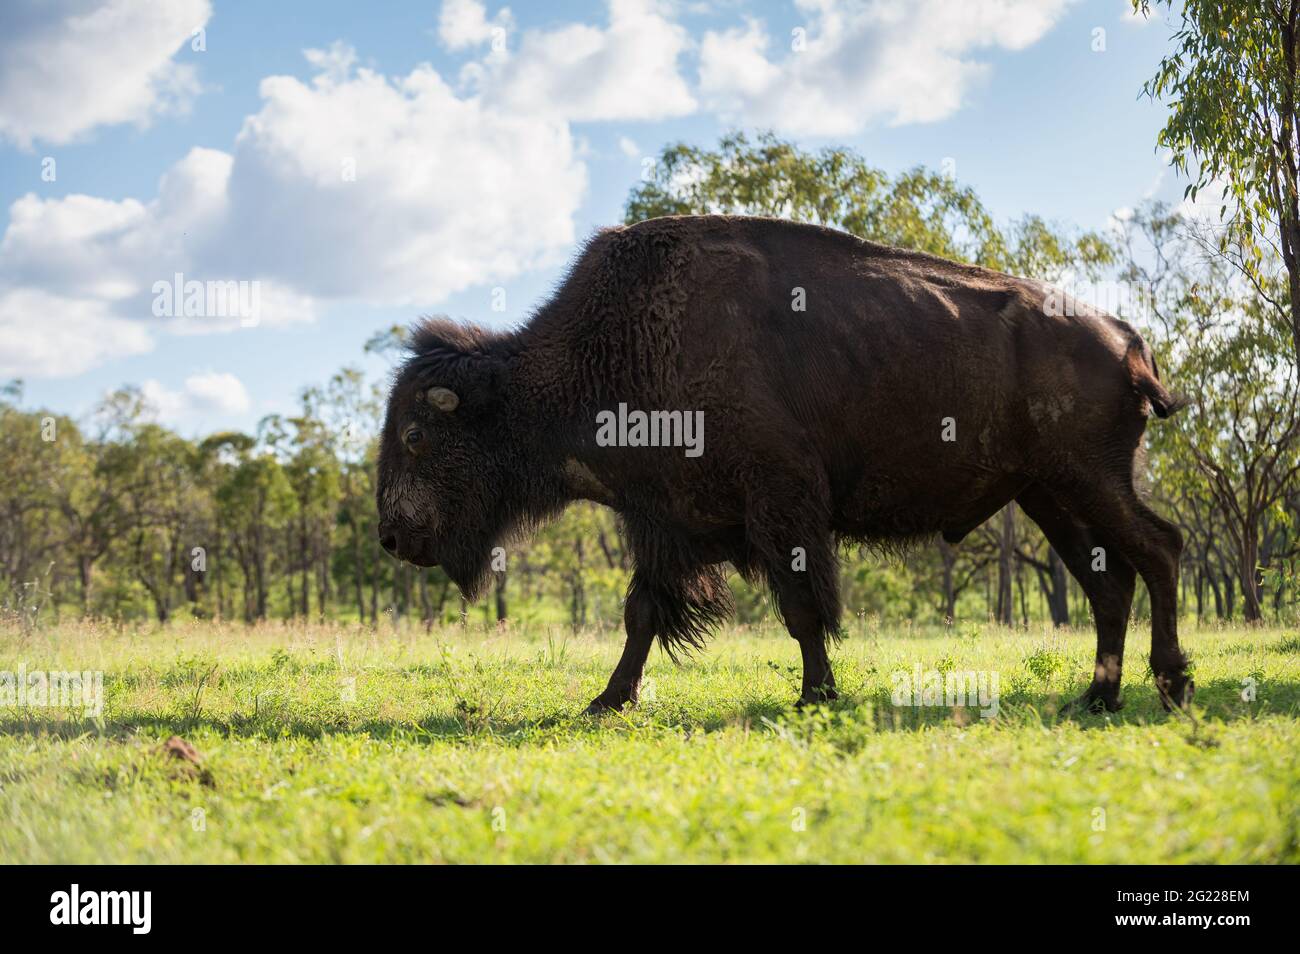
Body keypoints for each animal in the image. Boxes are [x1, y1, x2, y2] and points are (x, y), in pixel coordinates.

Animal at [377, 215, 1191, 714]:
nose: (390, 533)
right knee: (1108, 582)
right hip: (1050, 495)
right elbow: (642, 613)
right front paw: (606, 700)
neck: (598, 352)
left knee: (1160, 549)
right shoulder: (663, 523)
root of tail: (1127, 339)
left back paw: (1172, 686)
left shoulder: (781, 504)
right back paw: (1098, 697)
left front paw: (815, 696)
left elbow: (801, 608)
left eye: (416, 433)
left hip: (1091, 479)